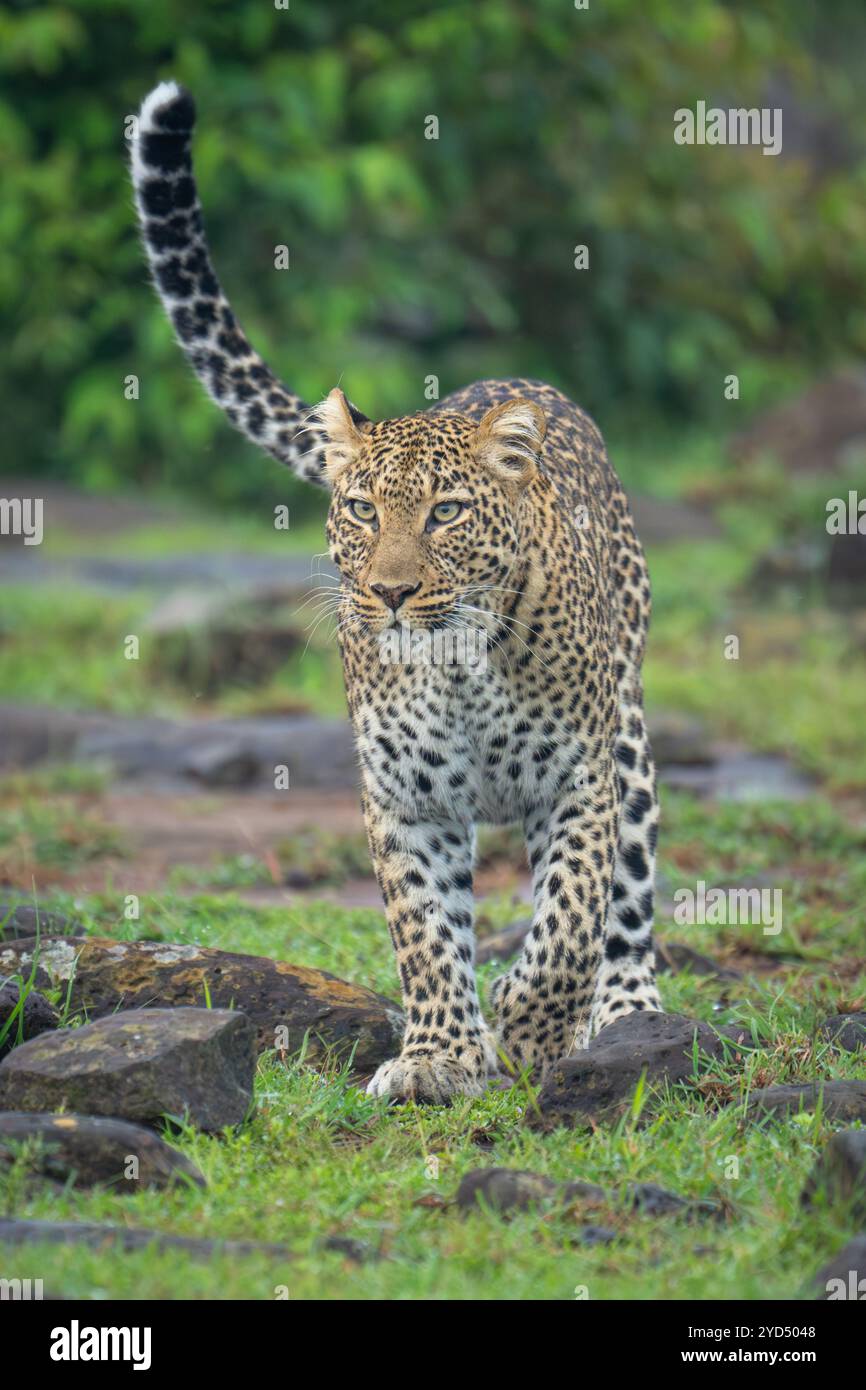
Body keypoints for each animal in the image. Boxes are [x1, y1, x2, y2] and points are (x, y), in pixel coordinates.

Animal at [130, 81, 663, 1103]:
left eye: (447, 512)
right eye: (362, 508)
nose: (389, 591)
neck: (457, 663)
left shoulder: (580, 783)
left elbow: (570, 918)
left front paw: (528, 1028)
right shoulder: (407, 804)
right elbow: (423, 933)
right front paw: (438, 1059)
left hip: (630, 732)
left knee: (628, 903)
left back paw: (631, 1014)